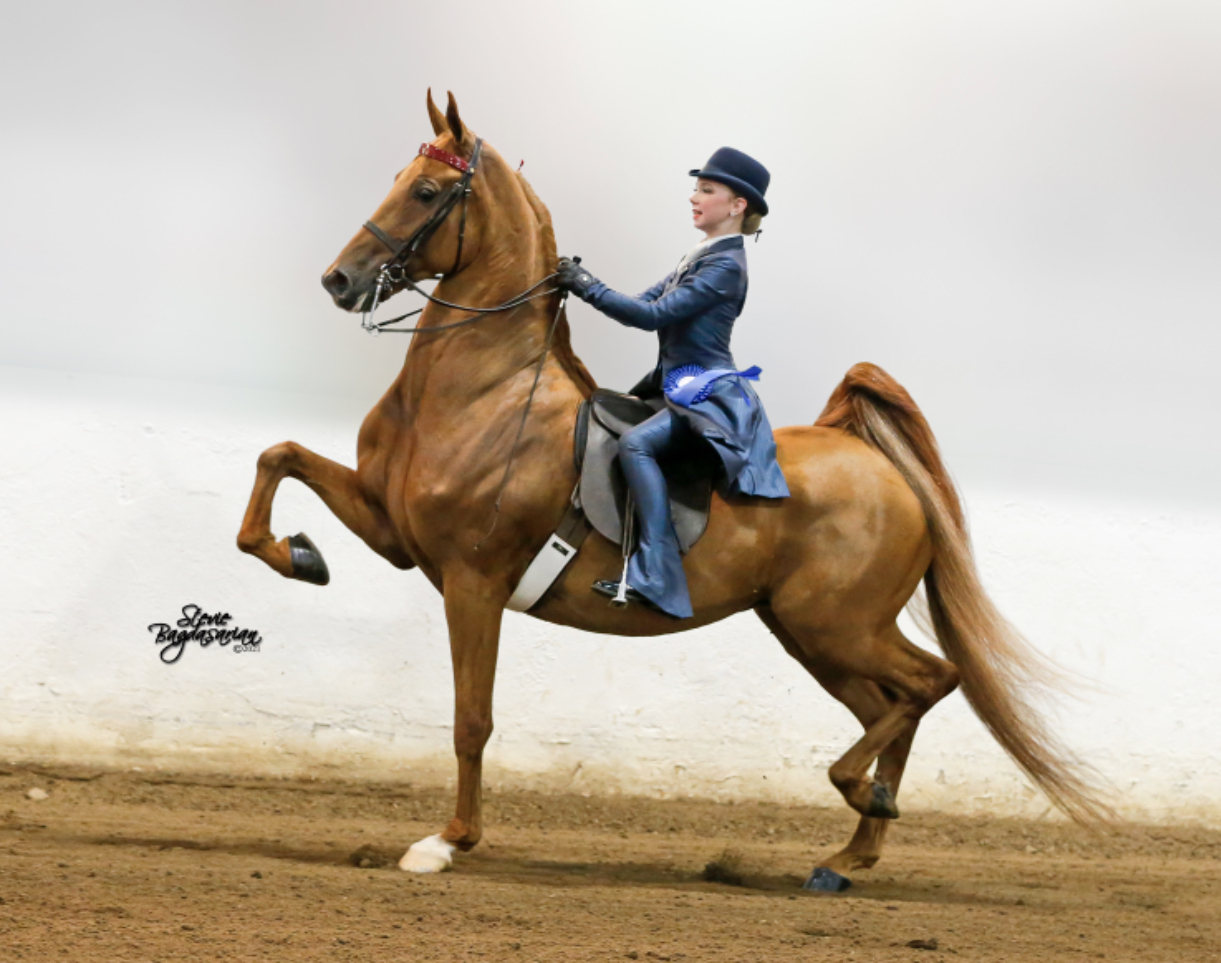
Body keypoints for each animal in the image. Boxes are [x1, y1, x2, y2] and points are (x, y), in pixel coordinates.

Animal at [237, 90, 1110, 890]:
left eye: (424, 191)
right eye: (398, 178)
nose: (339, 279)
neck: (481, 390)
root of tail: (872, 460)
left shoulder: (471, 580)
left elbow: (470, 719)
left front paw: (445, 841)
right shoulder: (393, 530)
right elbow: (277, 461)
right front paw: (300, 555)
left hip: (835, 624)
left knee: (931, 681)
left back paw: (862, 801)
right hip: (810, 632)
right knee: (889, 704)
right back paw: (847, 853)